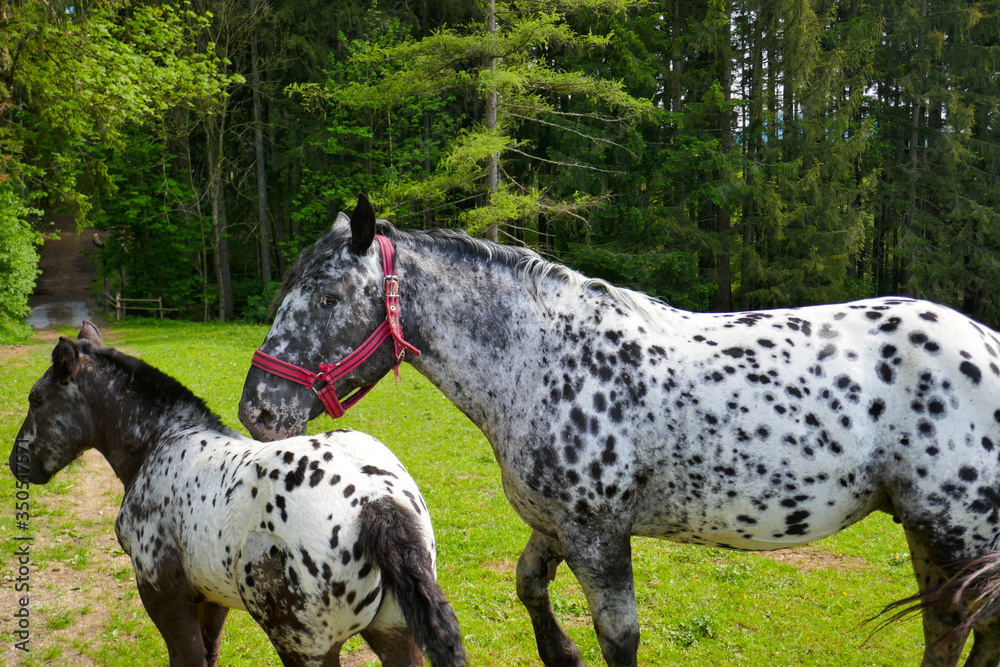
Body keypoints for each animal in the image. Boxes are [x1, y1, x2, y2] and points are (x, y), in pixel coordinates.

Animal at [9, 321, 466, 667]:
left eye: (36, 399)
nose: (17, 464)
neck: (159, 442)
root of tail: (377, 505)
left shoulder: (163, 597)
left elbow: (188, 660)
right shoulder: (211, 598)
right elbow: (209, 655)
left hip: (307, 648)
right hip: (395, 633)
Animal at [238, 194, 1000, 667]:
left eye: (328, 297)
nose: (257, 412)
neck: (541, 359)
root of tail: (986, 341)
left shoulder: (598, 535)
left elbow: (620, 636)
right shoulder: (558, 525)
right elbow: (528, 586)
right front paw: (561, 652)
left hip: (960, 534)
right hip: (933, 536)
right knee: (951, 629)